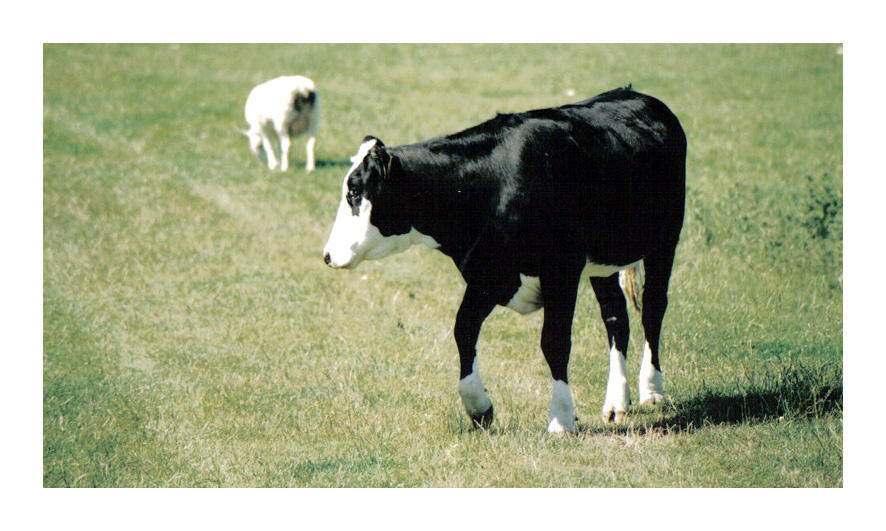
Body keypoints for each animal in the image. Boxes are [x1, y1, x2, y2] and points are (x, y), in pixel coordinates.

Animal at [322, 86, 686, 433]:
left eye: (354, 192)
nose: (327, 255)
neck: (493, 187)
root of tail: (635, 94)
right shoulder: (488, 273)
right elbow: (463, 329)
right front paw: (479, 407)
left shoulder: (561, 270)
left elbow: (554, 341)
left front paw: (561, 419)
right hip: (604, 261)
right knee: (616, 318)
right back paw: (616, 402)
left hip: (665, 240)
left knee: (653, 308)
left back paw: (651, 390)